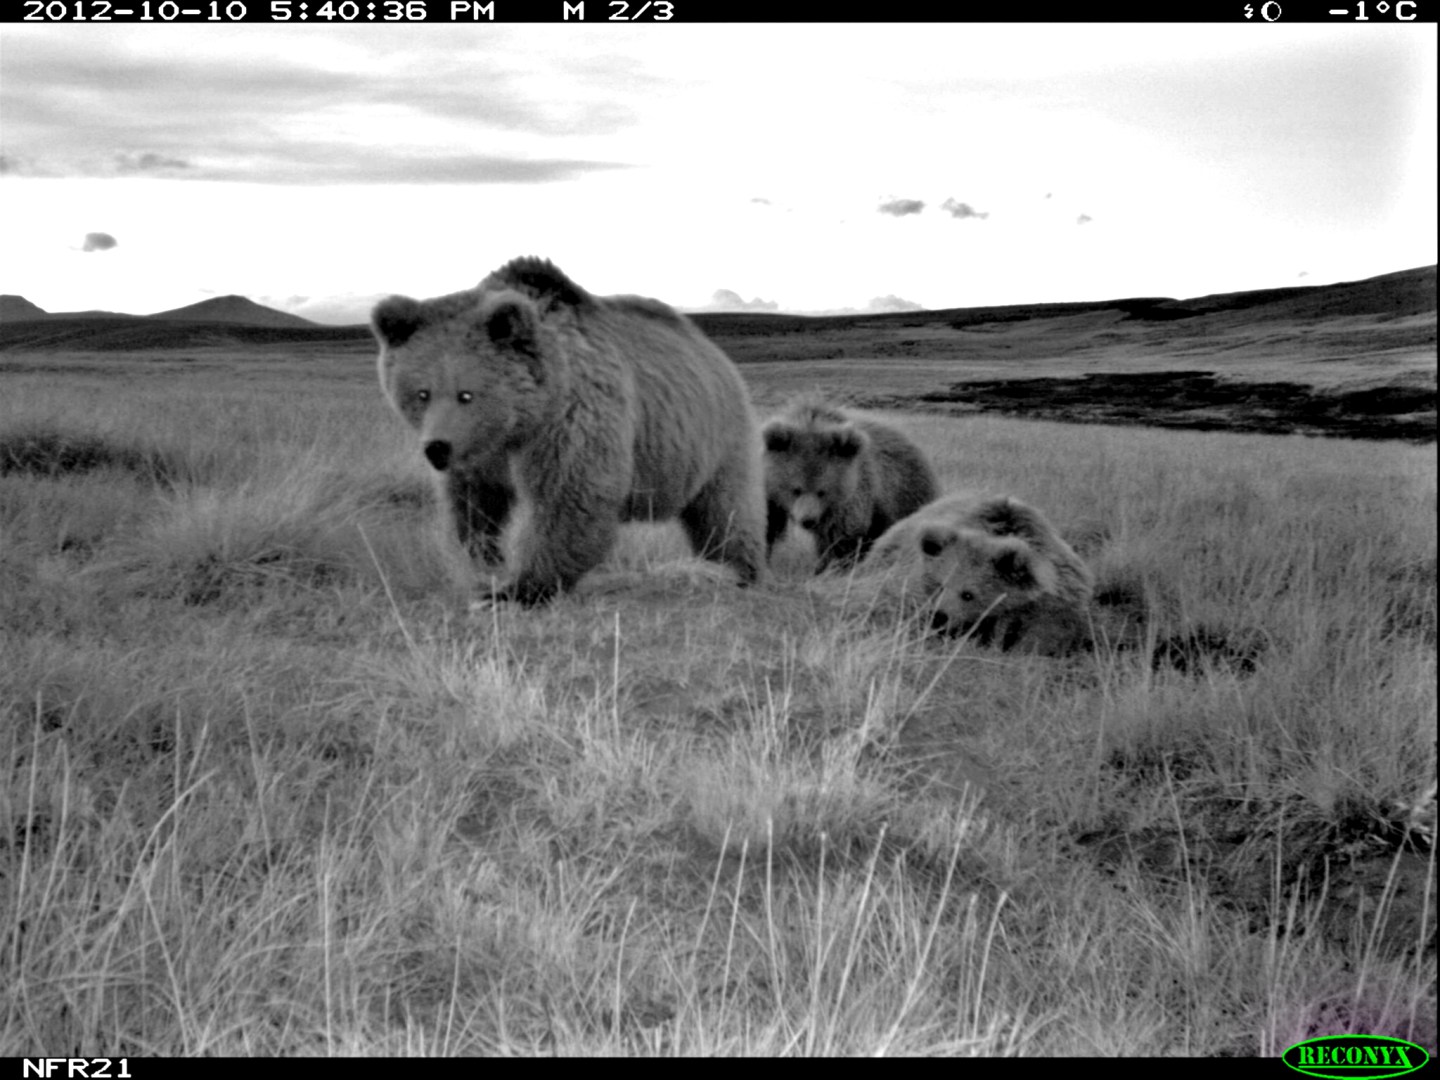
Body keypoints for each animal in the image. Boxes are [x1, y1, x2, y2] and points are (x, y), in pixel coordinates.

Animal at [371, 256, 767, 605]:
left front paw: (521, 589)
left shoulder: (571, 419)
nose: (437, 448)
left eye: (466, 393)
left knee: (725, 507)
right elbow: (474, 506)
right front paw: (484, 561)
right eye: (421, 392)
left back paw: (736, 569)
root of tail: (709, 346)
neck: (519, 421)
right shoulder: (481, 454)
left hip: (716, 435)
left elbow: (570, 498)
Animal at [761, 398, 939, 572]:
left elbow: (840, 536)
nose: (808, 520)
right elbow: (767, 526)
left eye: (822, 491)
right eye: (795, 490)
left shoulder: (853, 492)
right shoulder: (769, 495)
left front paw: (832, 567)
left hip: (904, 494)